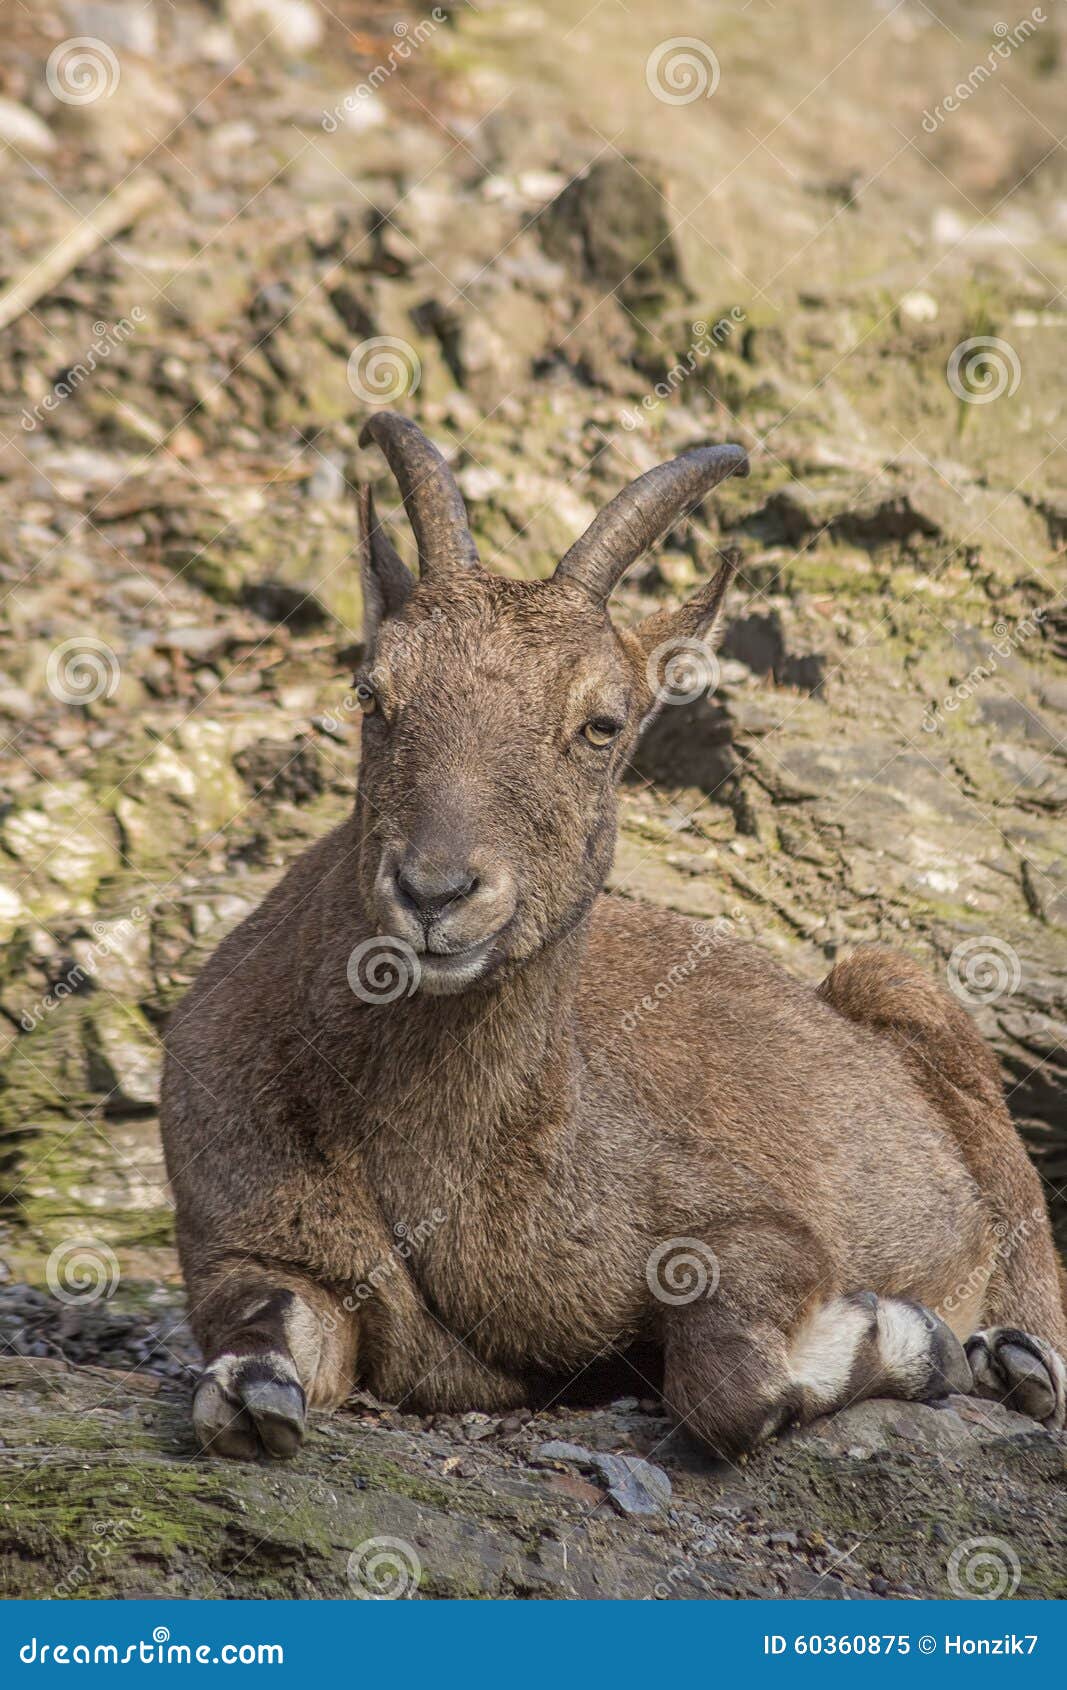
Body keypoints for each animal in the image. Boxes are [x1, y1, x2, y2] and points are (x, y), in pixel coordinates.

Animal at [161, 412, 1067, 1461]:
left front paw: (914, 1336)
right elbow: (253, 1355)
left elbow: (730, 1379)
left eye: (602, 723)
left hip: (913, 1007)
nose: (434, 891)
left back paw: (1010, 1359)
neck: (433, 1159)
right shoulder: (250, 1247)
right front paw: (251, 1395)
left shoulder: (749, 1222)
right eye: (370, 693)